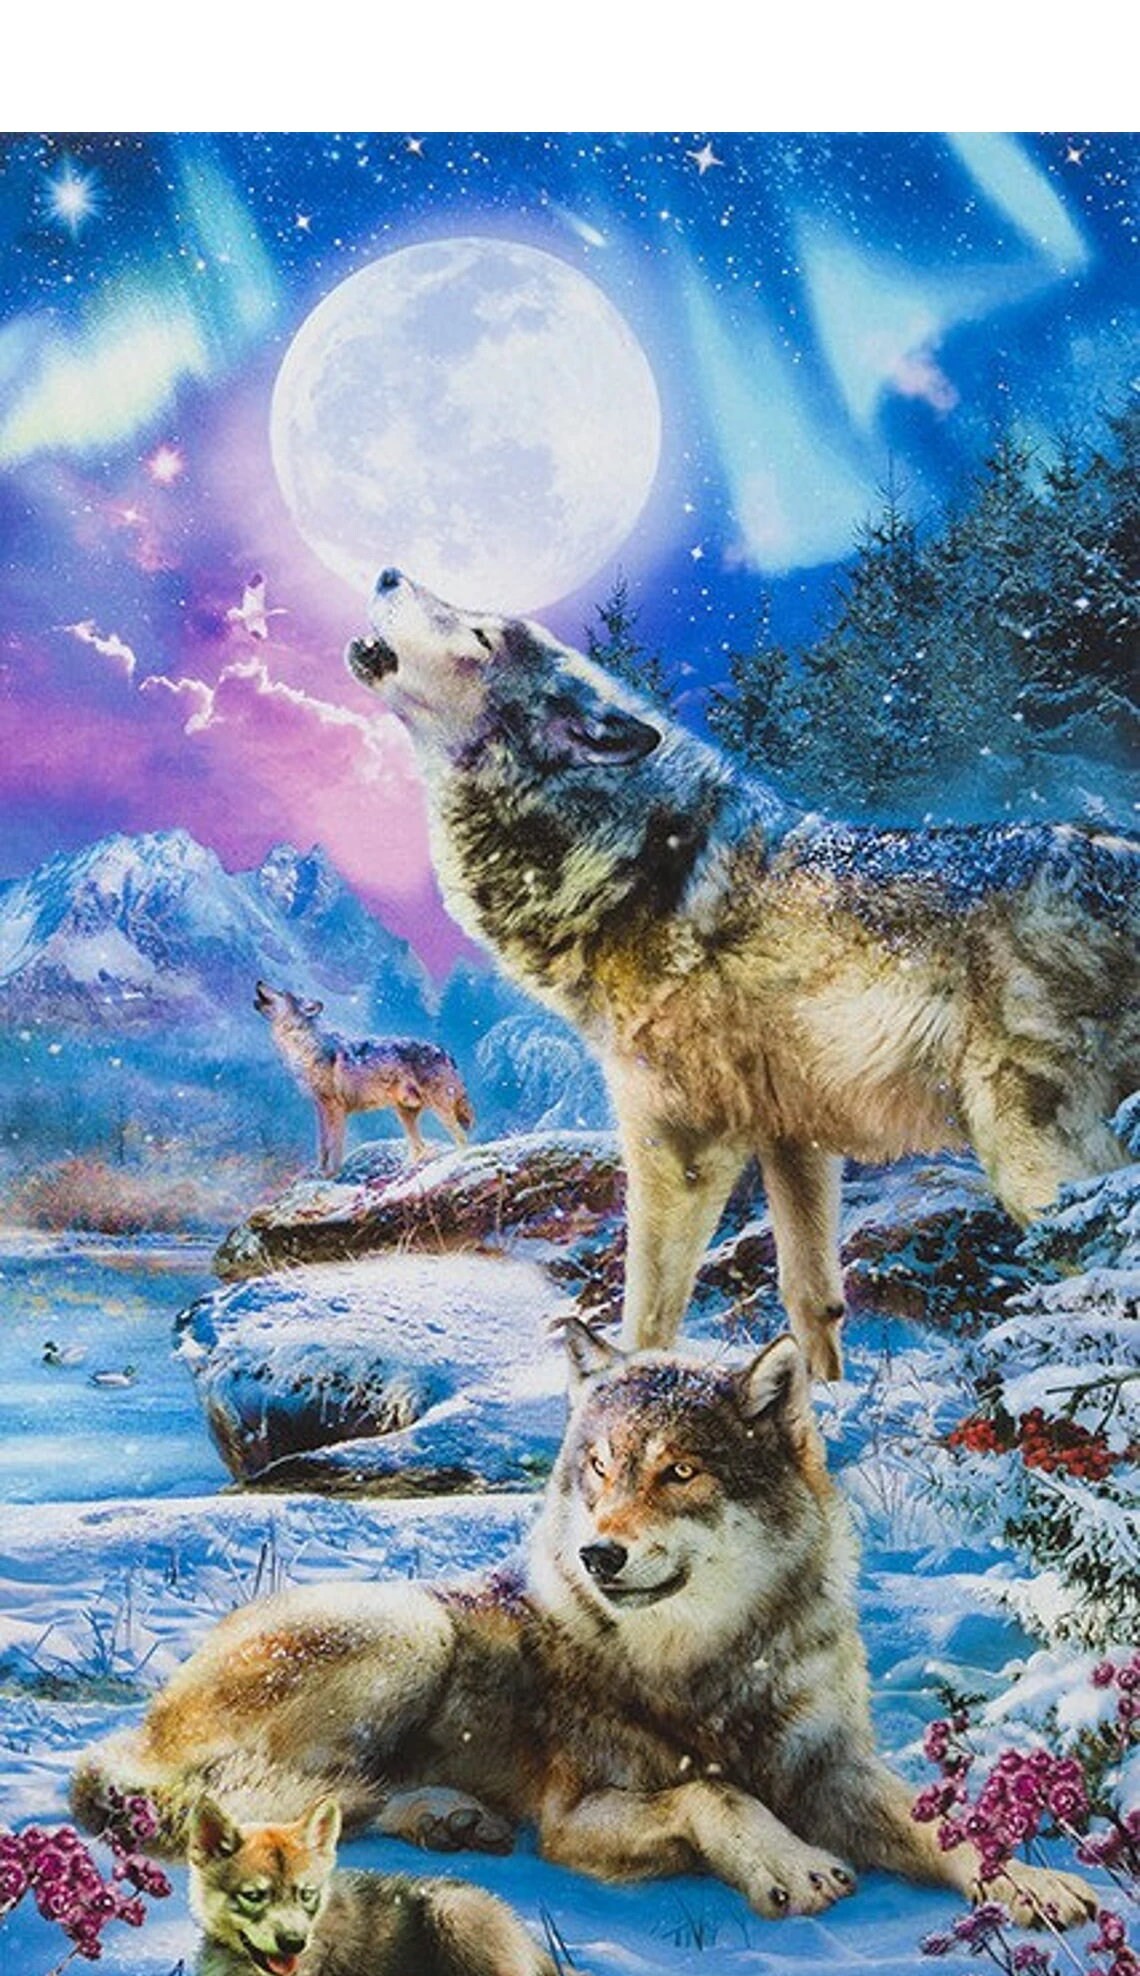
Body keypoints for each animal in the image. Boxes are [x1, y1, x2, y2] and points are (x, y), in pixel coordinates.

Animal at [72, 1324, 1093, 1930]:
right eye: (598, 1468)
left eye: (679, 1471)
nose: (600, 1554)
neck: (711, 1665)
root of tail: (134, 1727)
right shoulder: (576, 1818)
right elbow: (716, 1793)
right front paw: (791, 1863)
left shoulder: (832, 1770)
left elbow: (946, 1828)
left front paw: (1031, 1884)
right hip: (408, 1630)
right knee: (250, 1801)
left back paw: (446, 1817)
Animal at [254, 980, 474, 1172]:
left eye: (282, 992)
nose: (258, 981)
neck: (304, 1046)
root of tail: (446, 1052)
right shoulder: (320, 1108)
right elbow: (322, 1145)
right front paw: (319, 1171)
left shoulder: (336, 1108)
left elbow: (335, 1147)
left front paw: (333, 1174)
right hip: (404, 1113)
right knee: (420, 1147)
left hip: (440, 1111)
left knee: (463, 1140)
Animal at [345, 569, 1140, 1377]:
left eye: (480, 636)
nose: (386, 572)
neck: (630, 861)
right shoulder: (796, 1143)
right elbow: (812, 1301)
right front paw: (818, 1398)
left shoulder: (677, 1140)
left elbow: (647, 1313)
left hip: (1033, 1164)